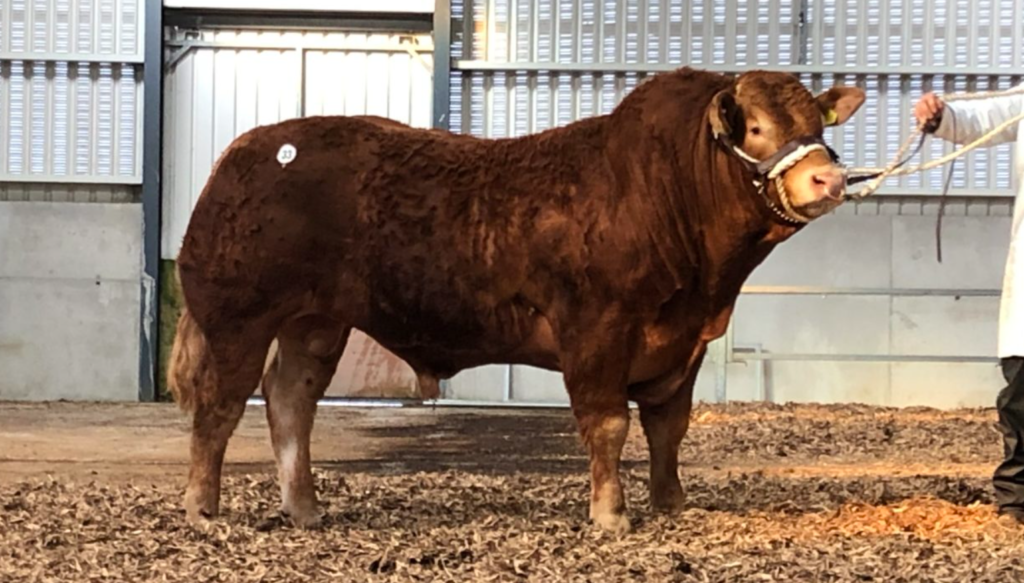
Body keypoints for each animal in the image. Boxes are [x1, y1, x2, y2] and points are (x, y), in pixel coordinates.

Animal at [168, 67, 865, 535]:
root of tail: (243, 153)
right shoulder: (597, 329)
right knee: (220, 404)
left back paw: (306, 507)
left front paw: (670, 503)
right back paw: (203, 508)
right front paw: (611, 515)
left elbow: (669, 426)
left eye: (817, 126)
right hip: (238, 316)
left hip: (315, 321)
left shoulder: (684, 343)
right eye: (755, 127)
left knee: (292, 399)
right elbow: (609, 425)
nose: (827, 178)